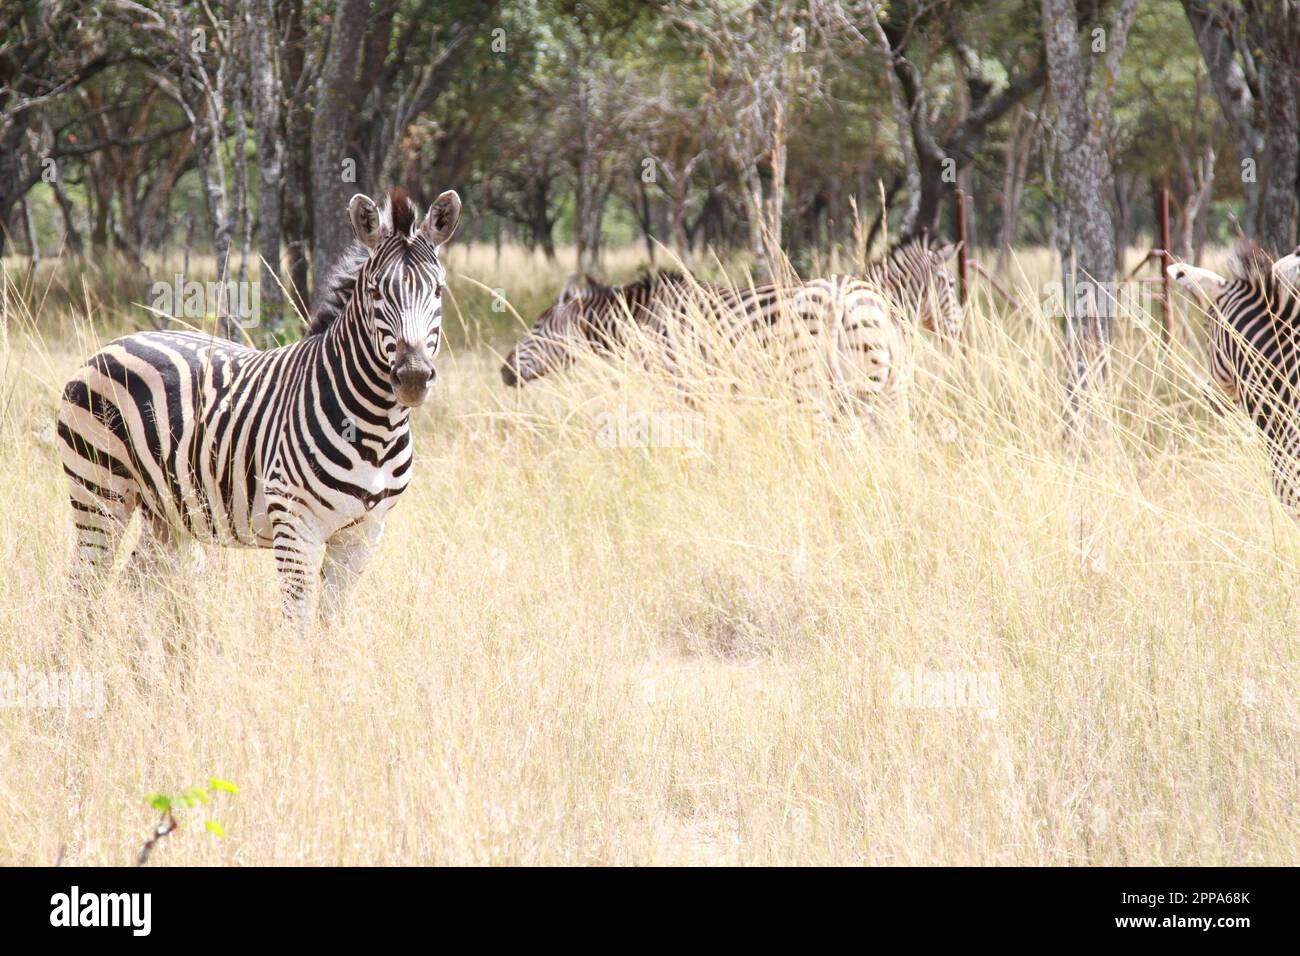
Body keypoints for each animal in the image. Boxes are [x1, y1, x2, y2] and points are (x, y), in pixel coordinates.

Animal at [56, 186, 462, 626]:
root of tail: (114, 343)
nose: (413, 377)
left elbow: (331, 624)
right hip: (98, 489)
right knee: (84, 586)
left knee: (140, 582)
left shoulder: (363, 533)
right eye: (375, 292)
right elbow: (298, 624)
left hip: (164, 509)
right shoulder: (295, 527)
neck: (377, 430)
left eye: (438, 291)